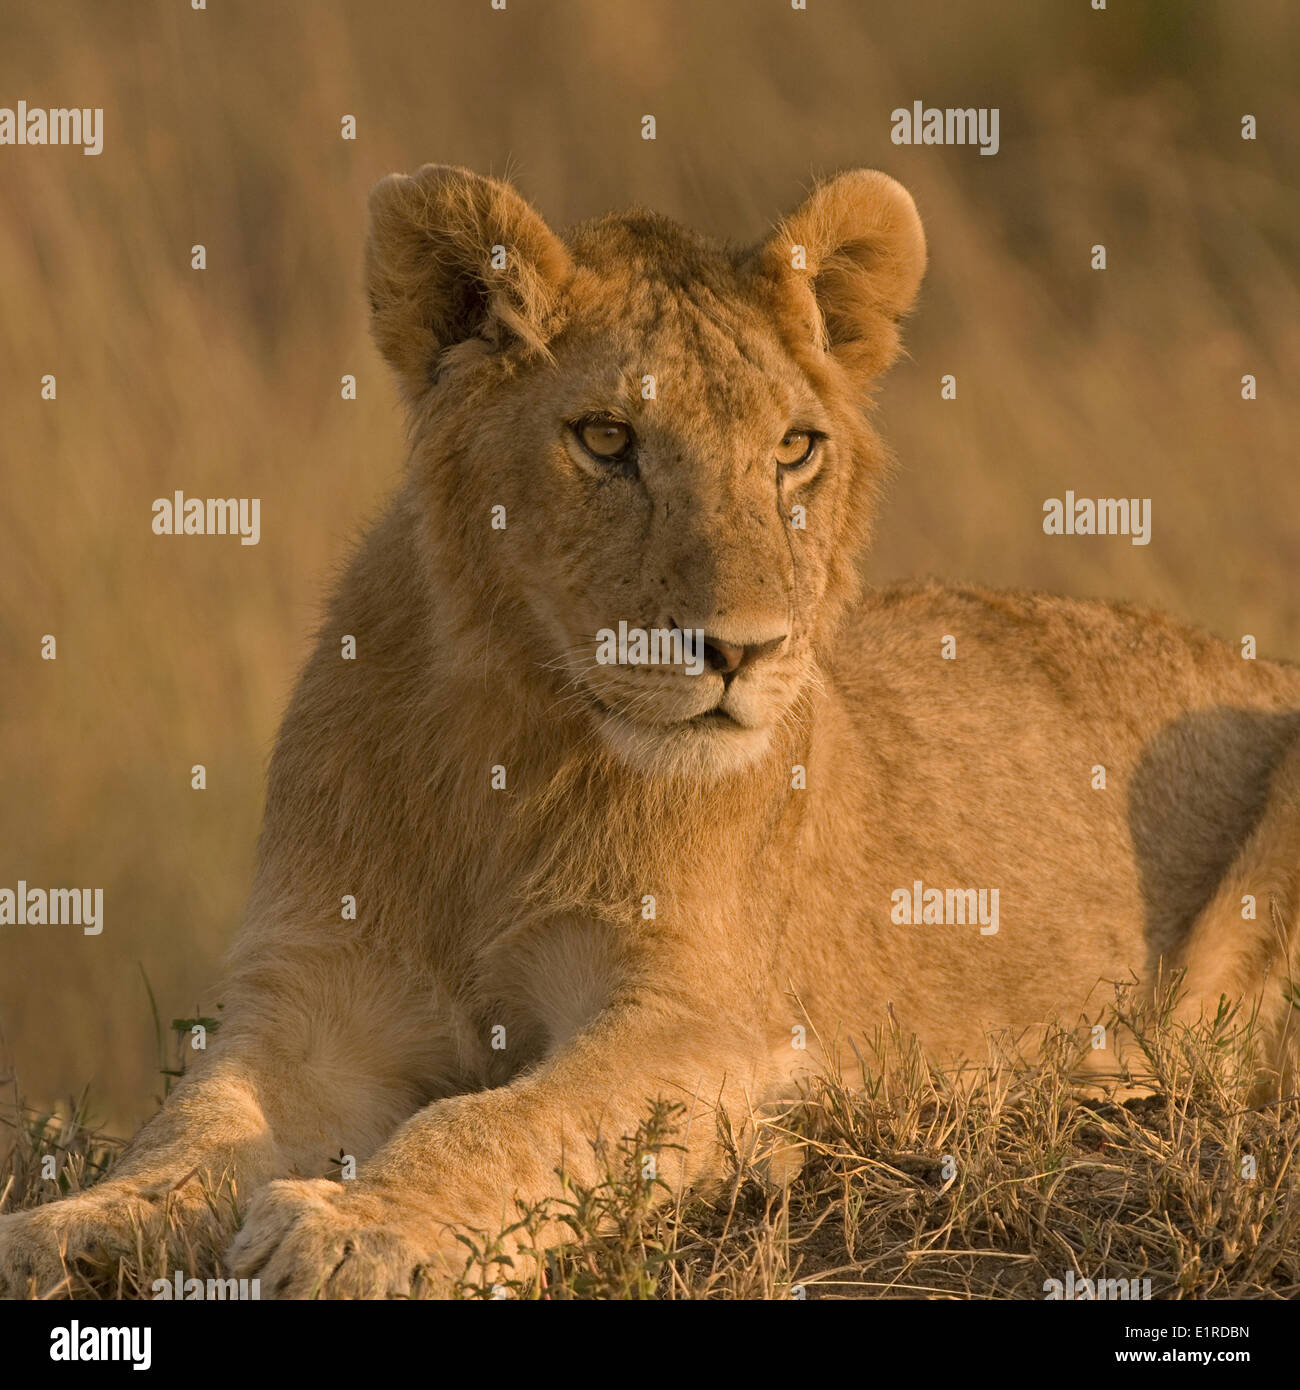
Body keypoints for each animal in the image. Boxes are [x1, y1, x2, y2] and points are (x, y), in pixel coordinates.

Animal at [3, 164, 1298, 1299]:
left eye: (794, 449)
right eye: (606, 440)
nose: (740, 652)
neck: (515, 744)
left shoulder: (702, 1018)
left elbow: (499, 1120)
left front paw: (356, 1233)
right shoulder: (313, 995)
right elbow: (194, 1127)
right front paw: (70, 1230)